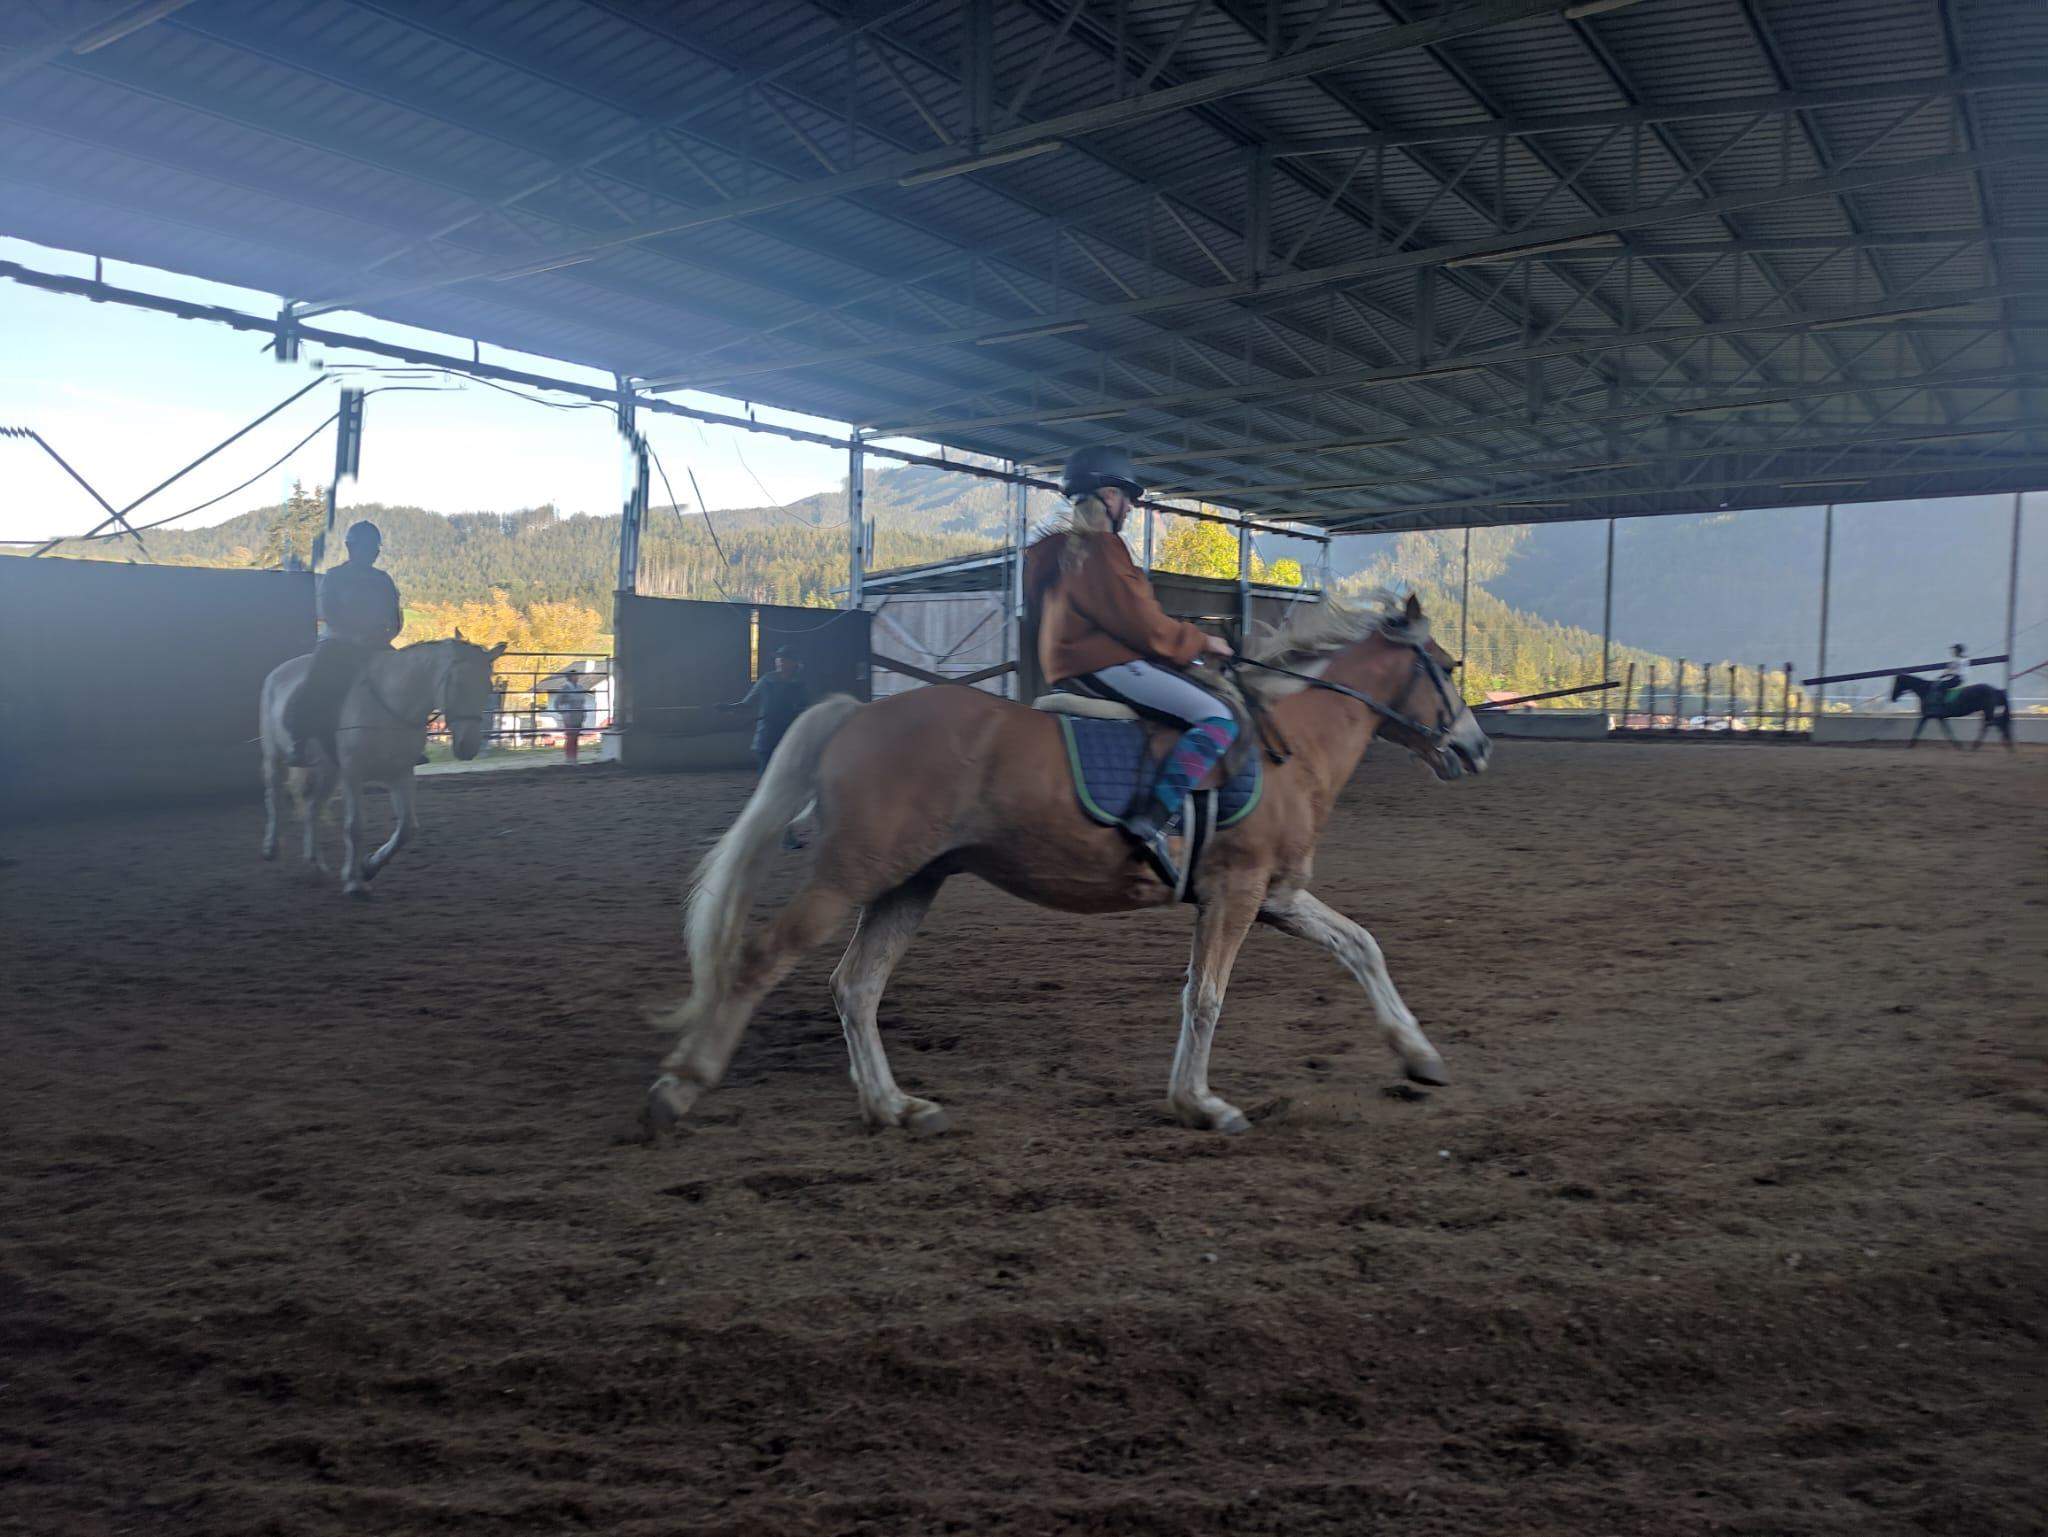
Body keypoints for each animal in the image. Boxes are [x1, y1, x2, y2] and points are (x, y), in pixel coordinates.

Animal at [259, 636, 505, 895]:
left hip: (329, 771)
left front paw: (369, 867)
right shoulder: (353, 774)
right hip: (274, 756)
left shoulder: (401, 774)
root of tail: (278, 672)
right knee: (274, 795)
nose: (468, 747)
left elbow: (407, 828)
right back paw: (271, 848)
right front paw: (354, 882)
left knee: (312, 808)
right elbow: (354, 827)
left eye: (488, 687)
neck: (391, 706)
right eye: (457, 683)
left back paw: (315, 866)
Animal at [645, 591, 1492, 1140]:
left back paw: (895, 1107)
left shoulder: (1276, 893)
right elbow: (1205, 996)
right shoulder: (1237, 890)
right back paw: (683, 1085)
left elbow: (1362, 946)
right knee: (762, 959)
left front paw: (1419, 1055)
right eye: (1448, 667)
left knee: (856, 985)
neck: (1293, 745)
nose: (1477, 748)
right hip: (850, 873)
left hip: (910, 881)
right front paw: (1200, 1103)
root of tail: (861, 711)